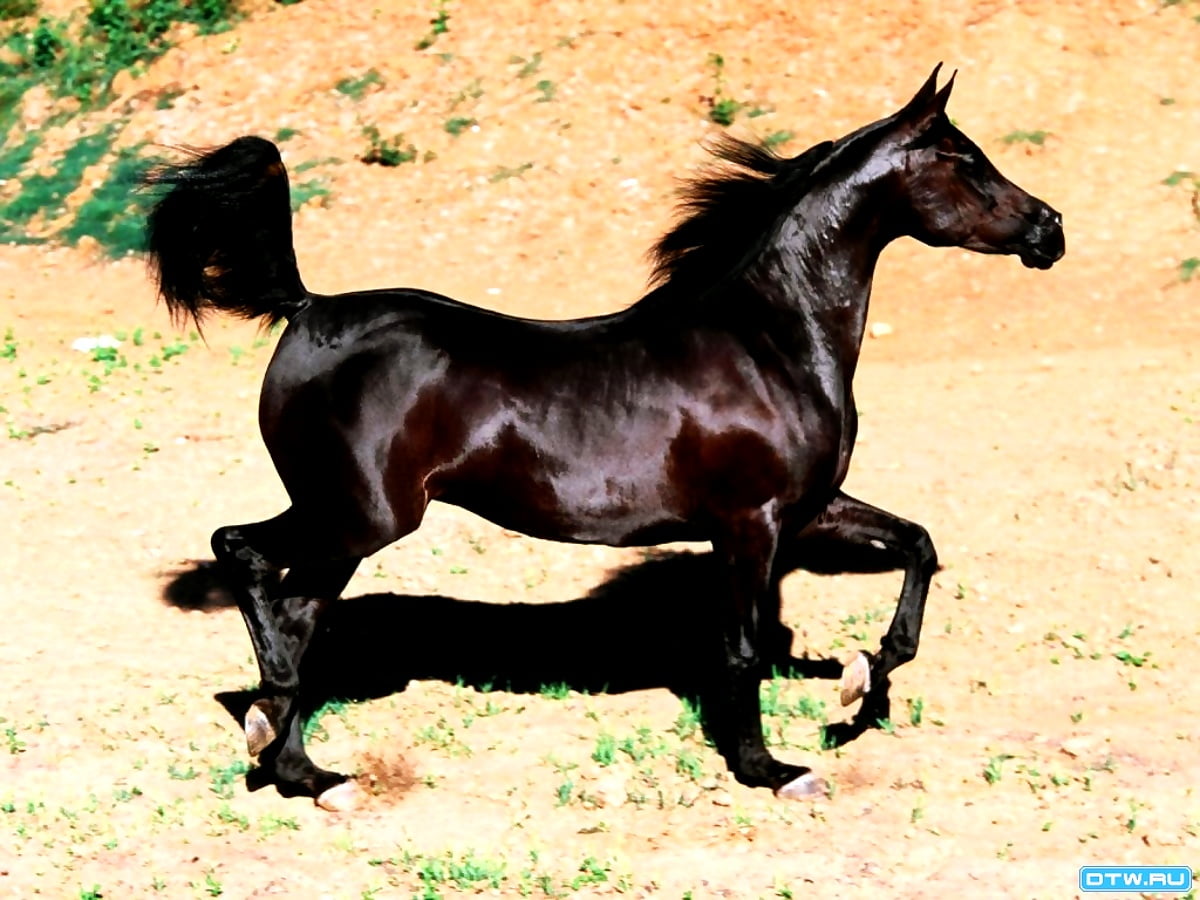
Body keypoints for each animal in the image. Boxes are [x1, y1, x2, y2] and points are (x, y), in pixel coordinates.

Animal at [144, 65, 1064, 810]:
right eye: (967, 160)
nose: (1050, 230)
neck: (769, 340)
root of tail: (307, 310)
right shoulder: (751, 524)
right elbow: (742, 650)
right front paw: (773, 769)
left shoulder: (809, 507)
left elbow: (917, 545)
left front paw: (860, 683)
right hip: (358, 515)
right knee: (250, 563)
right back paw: (278, 731)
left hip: (345, 521)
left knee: (291, 607)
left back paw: (302, 767)